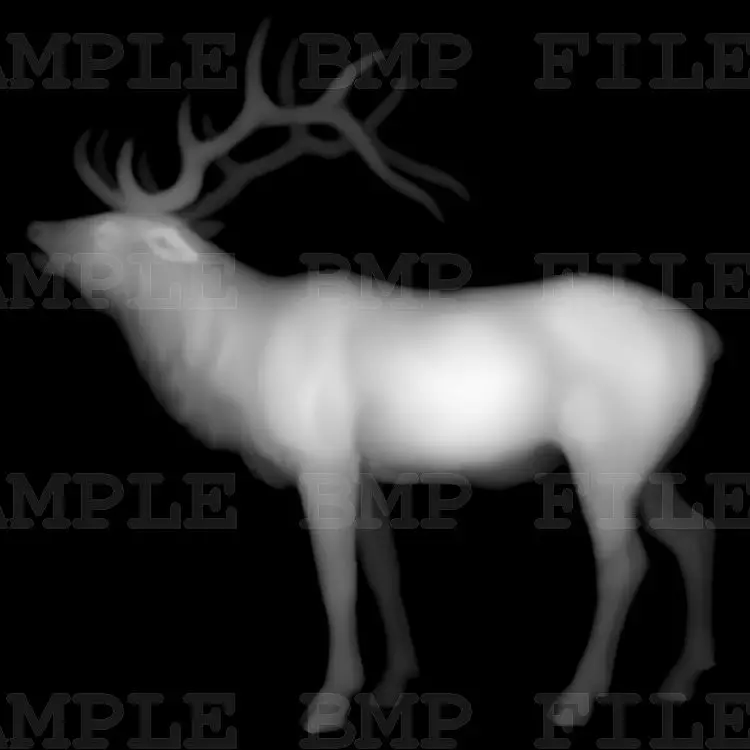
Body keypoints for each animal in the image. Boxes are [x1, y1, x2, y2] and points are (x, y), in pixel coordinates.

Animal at [26, 22, 721, 735]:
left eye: (110, 228)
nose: (39, 229)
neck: (230, 360)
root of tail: (706, 339)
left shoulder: (320, 456)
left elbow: (336, 580)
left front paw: (330, 702)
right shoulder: (361, 466)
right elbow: (384, 568)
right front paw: (391, 684)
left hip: (604, 452)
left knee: (624, 561)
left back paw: (576, 700)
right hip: (650, 456)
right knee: (695, 532)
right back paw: (679, 681)